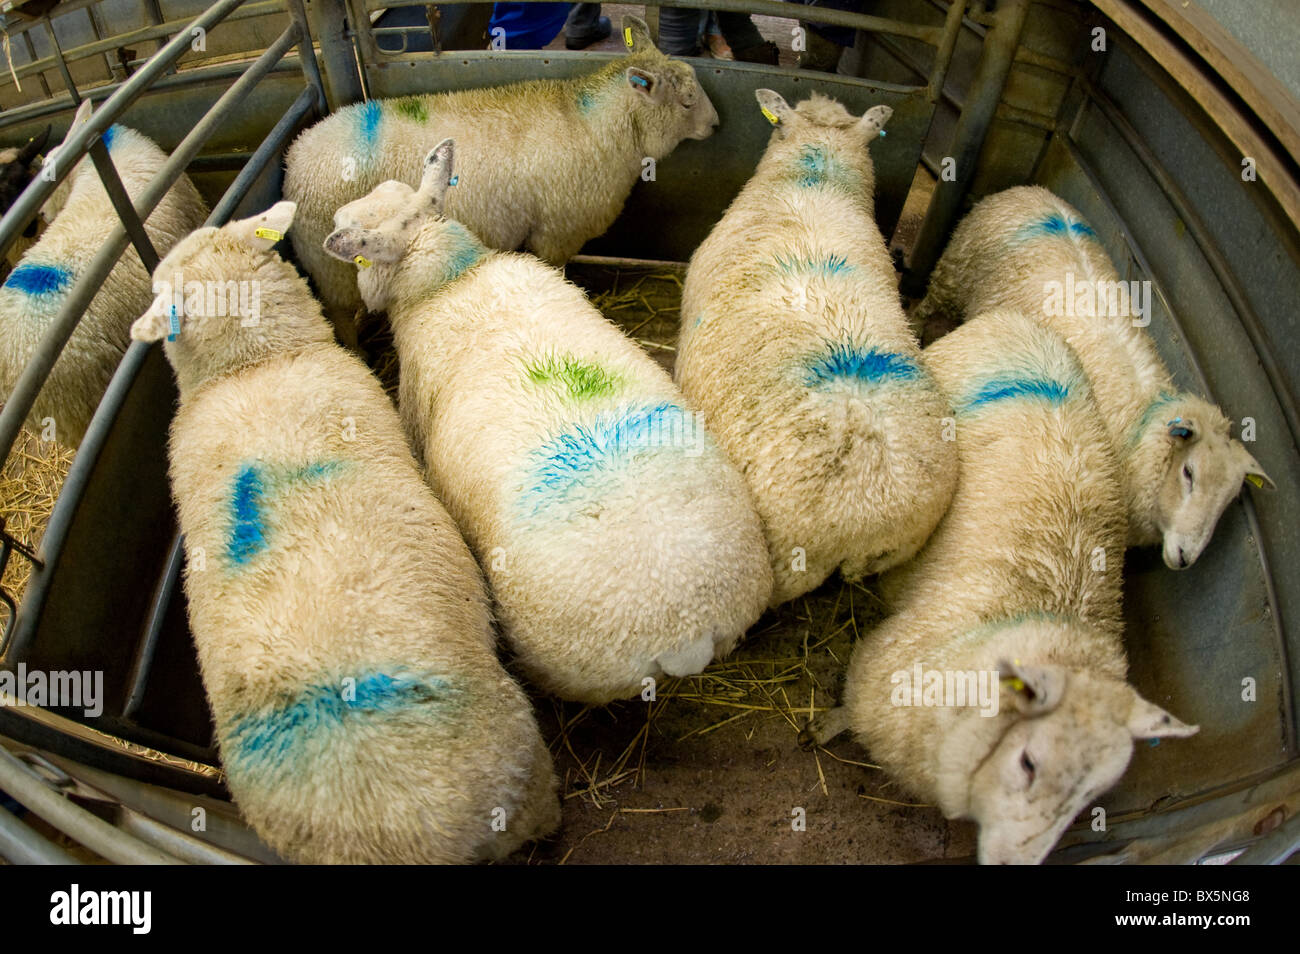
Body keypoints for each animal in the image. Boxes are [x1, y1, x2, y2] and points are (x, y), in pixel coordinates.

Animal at [284, 15, 718, 318]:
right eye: (686, 101)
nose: (715, 125)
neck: (595, 126)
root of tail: (295, 157)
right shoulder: (557, 230)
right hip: (335, 274)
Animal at [801, 308, 1198, 865]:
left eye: (1088, 798)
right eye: (1028, 762)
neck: (1051, 622)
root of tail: (1015, 318)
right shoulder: (875, 674)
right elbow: (846, 712)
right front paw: (824, 726)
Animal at [916, 185, 1273, 569]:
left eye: (1227, 500)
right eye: (1188, 473)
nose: (1183, 557)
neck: (1142, 427)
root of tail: (1033, 191)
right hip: (953, 273)